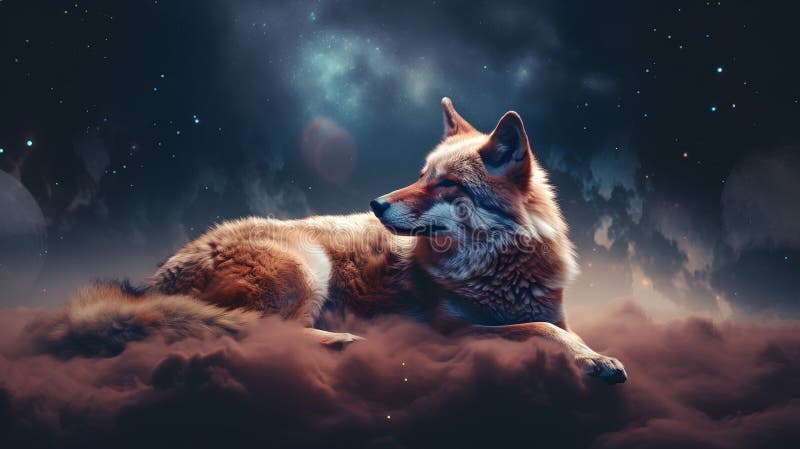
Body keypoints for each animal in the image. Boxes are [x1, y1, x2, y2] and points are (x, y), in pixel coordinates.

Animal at [39, 98, 626, 384]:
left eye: (445, 184)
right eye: (420, 175)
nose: (376, 204)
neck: (500, 270)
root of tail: (154, 283)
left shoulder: (552, 309)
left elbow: (560, 328)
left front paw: (595, 356)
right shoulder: (450, 332)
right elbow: (542, 331)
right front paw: (593, 362)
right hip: (307, 270)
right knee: (253, 334)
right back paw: (342, 342)